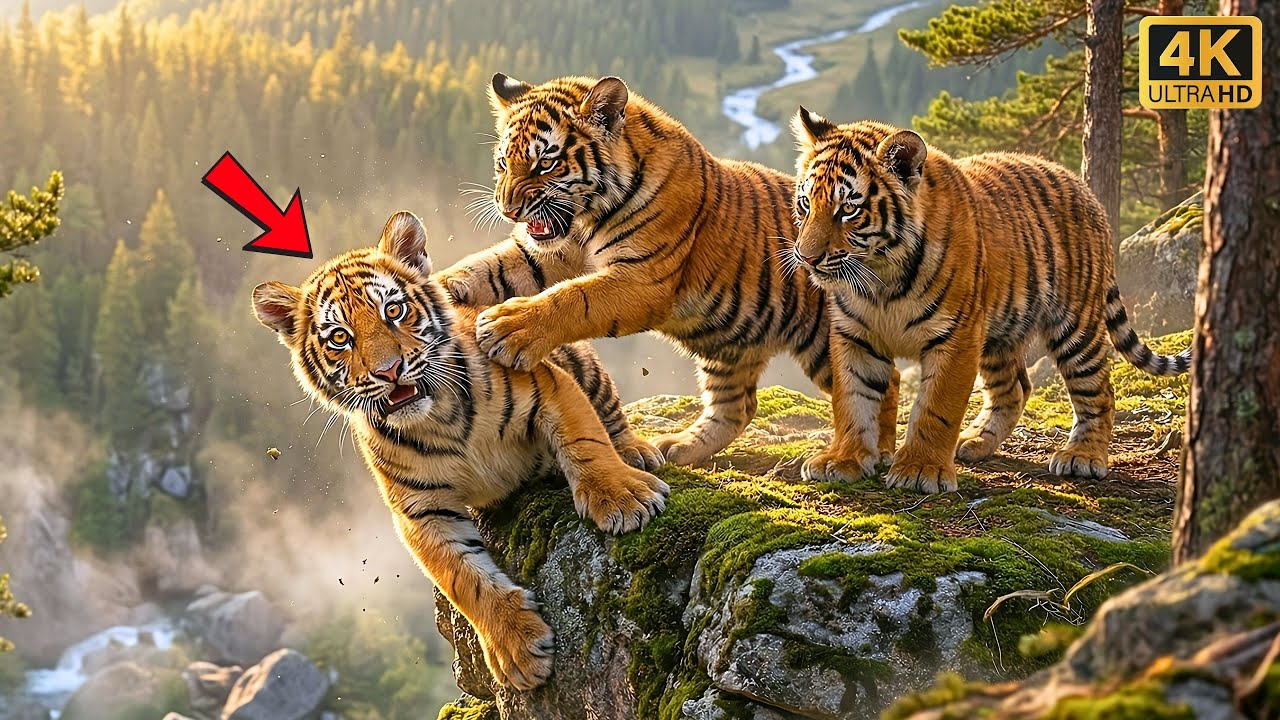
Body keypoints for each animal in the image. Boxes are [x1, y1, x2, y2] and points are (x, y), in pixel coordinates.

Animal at [251, 210, 669, 690]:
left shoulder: (549, 387)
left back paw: (636, 453)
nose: (389, 371)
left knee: (609, 416)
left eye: (393, 311)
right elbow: (464, 579)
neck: (439, 419)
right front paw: (516, 649)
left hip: (581, 362)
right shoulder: (420, 511)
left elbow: (587, 442)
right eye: (340, 337)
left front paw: (624, 499)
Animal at [436, 74, 901, 467]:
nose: (507, 207)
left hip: (826, 340)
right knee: (737, 406)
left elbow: (575, 298)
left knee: (883, 379)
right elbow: (483, 269)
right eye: (503, 163)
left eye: (544, 164)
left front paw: (509, 327)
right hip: (729, 346)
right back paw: (680, 447)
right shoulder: (539, 253)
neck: (587, 218)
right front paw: (439, 289)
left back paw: (873, 454)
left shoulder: (641, 279)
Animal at [788, 110, 1191, 493]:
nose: (807, 258)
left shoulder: (955, 336)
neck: (879, 278)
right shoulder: (855, 335)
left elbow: (936, 406)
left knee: (1098, 390)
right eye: (806, 203)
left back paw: (1083, 456)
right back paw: (976, 441)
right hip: (1000, 335)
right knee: (1014, 389)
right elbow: (853, 401)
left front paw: (920, 469)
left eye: (848, 210)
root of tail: (1085, 189)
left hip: (1074, 325)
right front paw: (843, 459)